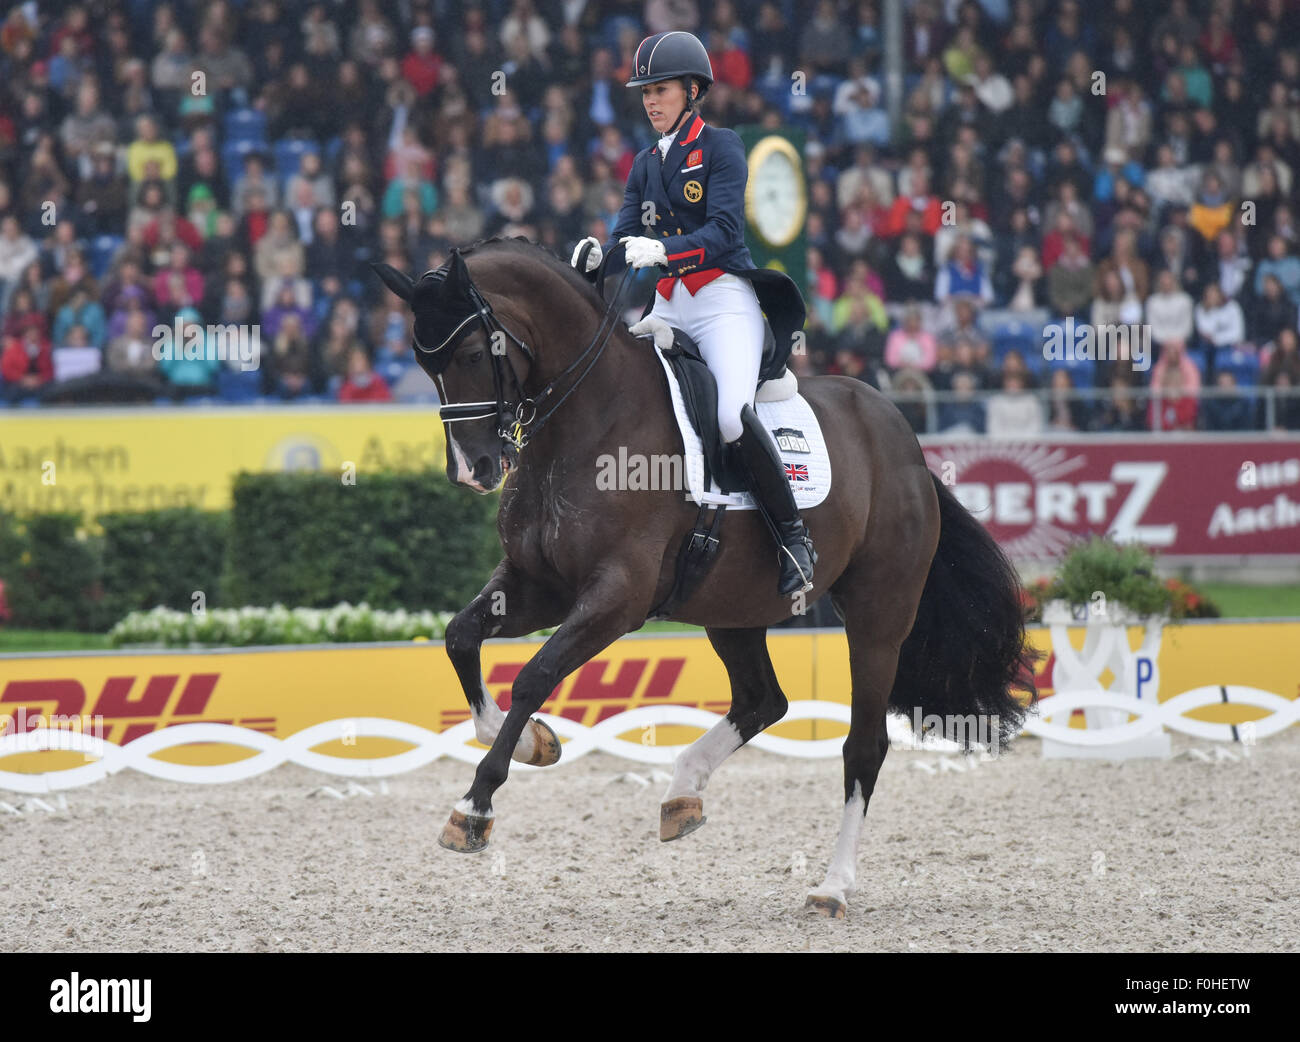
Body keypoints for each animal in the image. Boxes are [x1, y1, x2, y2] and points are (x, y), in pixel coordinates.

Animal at [374, 236, 1037, 918]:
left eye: (474, 354)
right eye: (424, 365)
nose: (472, 470)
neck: (588, 418)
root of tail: (903, 438)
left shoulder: (617, 596)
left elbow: (534, 676)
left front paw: (474, 806)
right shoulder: (539, 585)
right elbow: (460, 637)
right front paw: (537, 744)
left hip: (878, 617)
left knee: (863, 745)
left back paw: (832, 885)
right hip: (732, 608)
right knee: (763, 700)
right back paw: (683, 791)